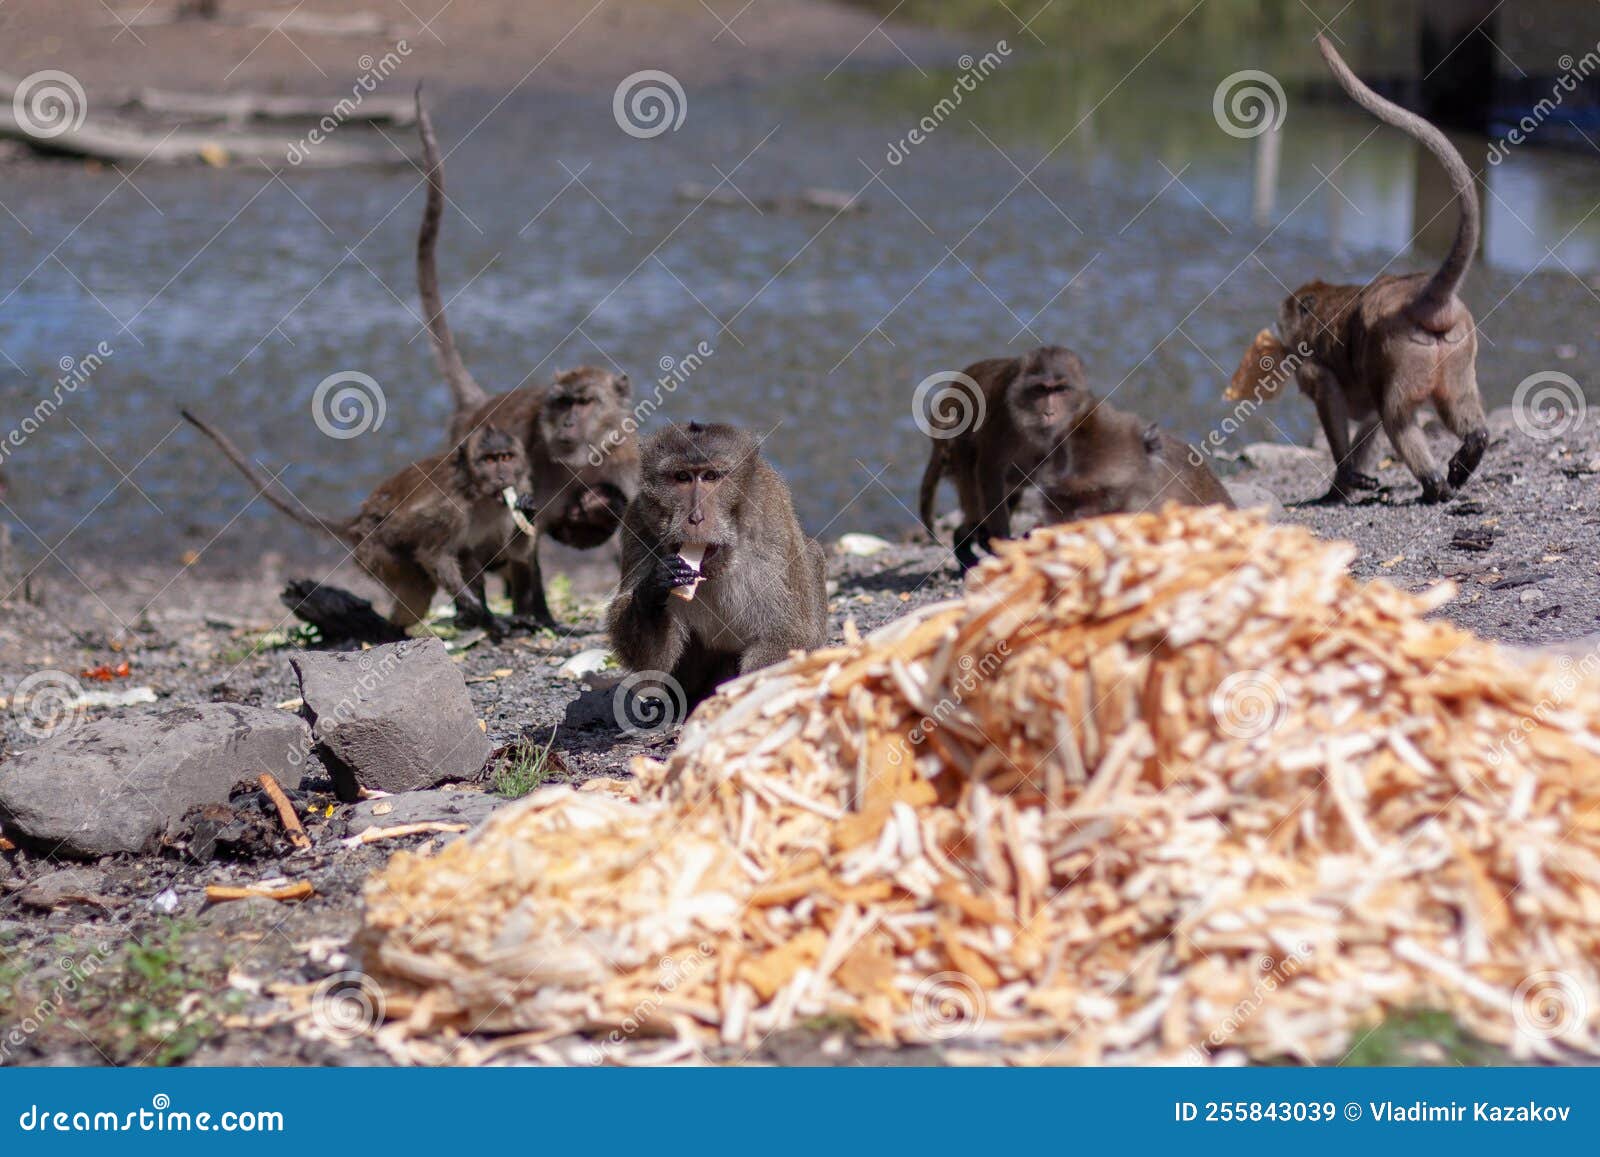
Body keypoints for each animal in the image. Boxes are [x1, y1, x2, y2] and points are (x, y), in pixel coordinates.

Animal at [180, 409, 539, 641]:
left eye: (506, 457)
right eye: (489, 460)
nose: (502, 475)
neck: (476, 491)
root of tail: (360, 518)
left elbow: (503, 553)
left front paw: (527, 511)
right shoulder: (449, 511)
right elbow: (433, 555)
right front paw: (478, 612)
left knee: (461, 561)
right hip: (374, 549)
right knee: (418, 586)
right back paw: (391, 631)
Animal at [414, 90, 638, 621]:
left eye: (585, 402)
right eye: (562, 404)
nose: (567, 422)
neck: (584, 460)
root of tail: (478, 405)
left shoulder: (624, 459)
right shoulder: (536, 466)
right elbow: (525, 537)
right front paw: (536, 612)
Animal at [607, 422, 828, 712]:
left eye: (711, 476)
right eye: (682, 477)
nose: (696, 518)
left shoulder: (771, 521)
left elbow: (787, 633)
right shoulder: (638, 523)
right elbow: (651, 664)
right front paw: (654, 588)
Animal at [916, 345, 1094, 569]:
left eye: (1060, 389)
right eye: (1040, 389)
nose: (1049, 412)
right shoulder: (1004, 416)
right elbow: (989, 469)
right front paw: (1002, 541)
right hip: (955, 448)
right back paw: (976, 539)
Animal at [1248, 35, 1487, 506]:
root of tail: (1423, 297)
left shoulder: (1309, 361)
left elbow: (1330, 393)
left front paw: (1343, 480)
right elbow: (1369, 419)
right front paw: (1349, 480)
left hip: (1404, 354)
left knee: (1396, 415)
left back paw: (1432, 483)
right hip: (1457, 351)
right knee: (1444, 412)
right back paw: (1468, 452)